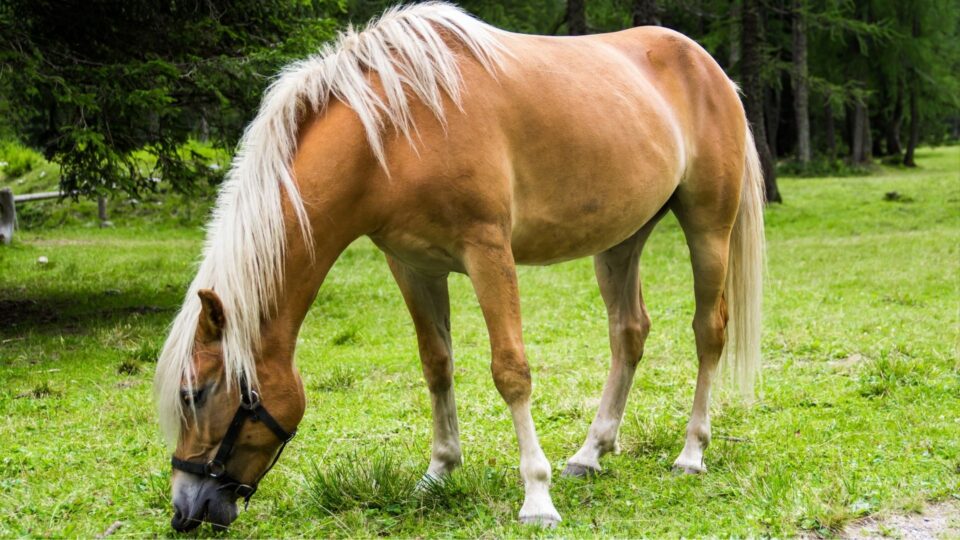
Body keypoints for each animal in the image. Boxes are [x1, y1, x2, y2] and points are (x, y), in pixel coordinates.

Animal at [154, 2, 764, 531]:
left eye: (194, 393)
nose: (186, 511)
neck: (395, 130)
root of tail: (708, 66)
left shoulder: (488, 252)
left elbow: (511, 371)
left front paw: (537, 497)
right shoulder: (412, 265)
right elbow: (437, 364)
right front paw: (439, 472)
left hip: (708, 228)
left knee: (708, 332)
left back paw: (691, 453)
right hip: (620, 240)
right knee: (629, 332)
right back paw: (590, 452)